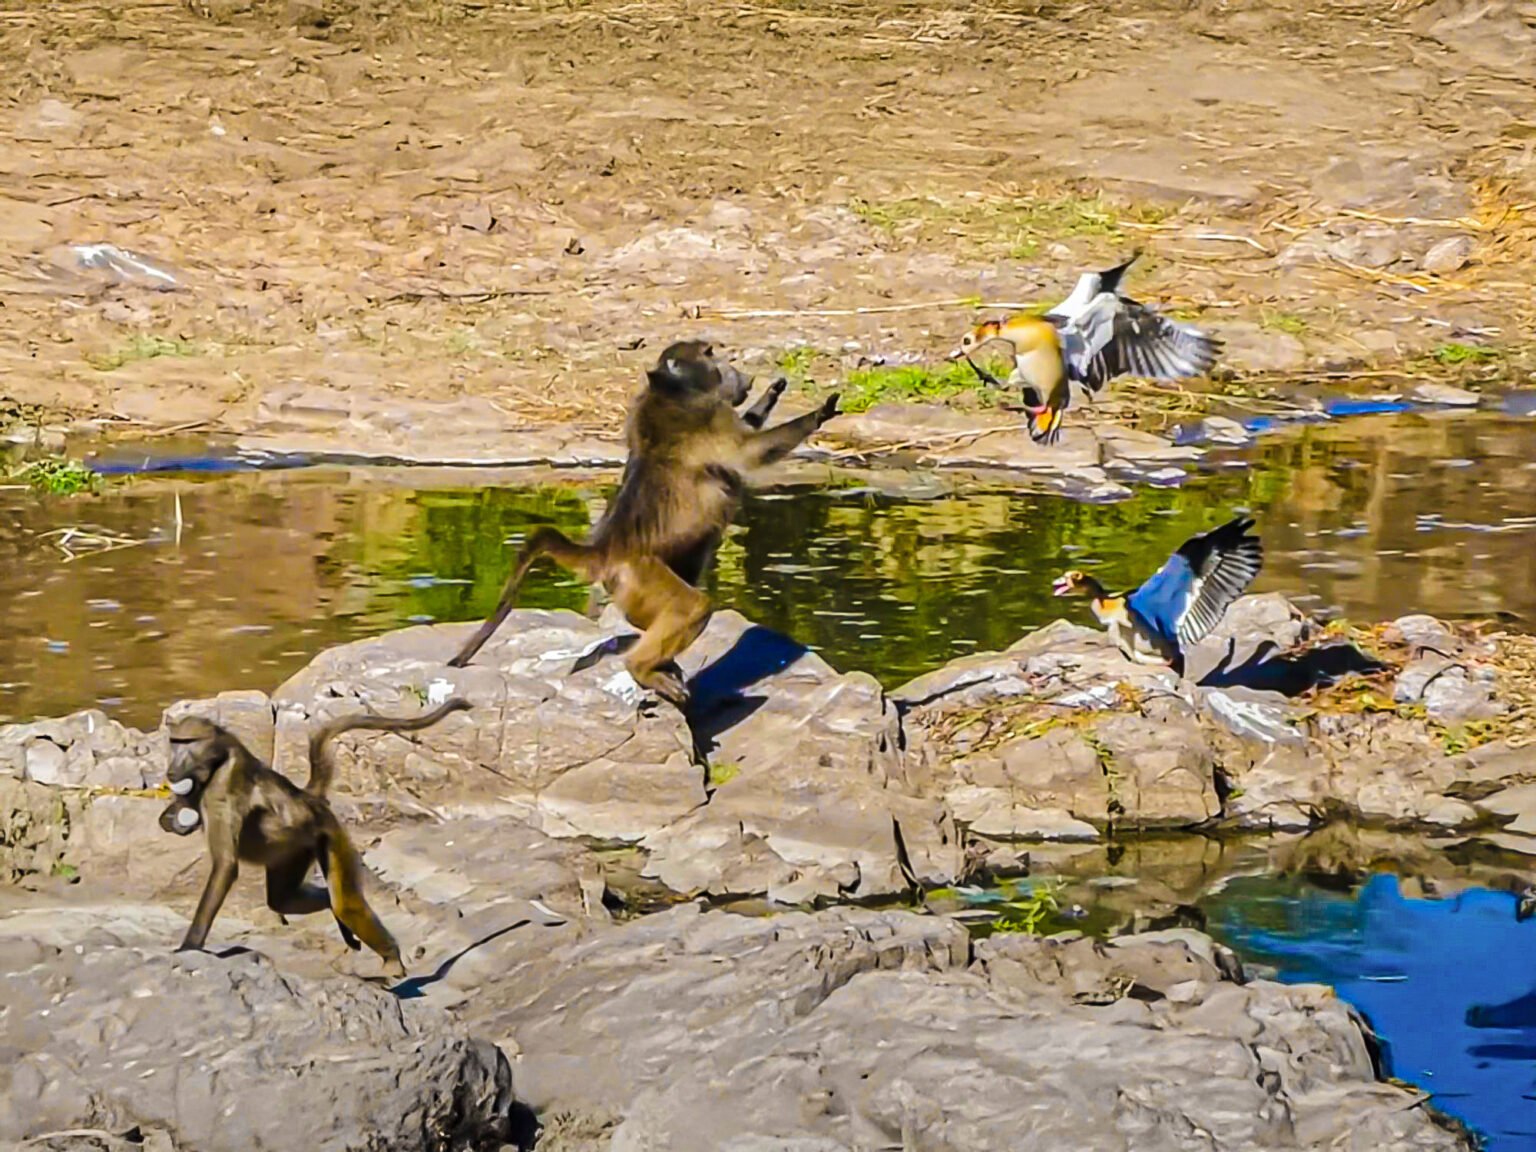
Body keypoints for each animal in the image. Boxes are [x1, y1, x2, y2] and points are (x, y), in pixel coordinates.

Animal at [159, 697, 471, 978]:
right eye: (175, 742)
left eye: (187, 743)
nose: (172, 769)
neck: (218, 759)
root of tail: (307, 798)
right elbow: (172, 818)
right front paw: (176, 819)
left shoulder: (222, 787)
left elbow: (225, 865)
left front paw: (189, 947)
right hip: (294, 849)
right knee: (286, 900)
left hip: (327, 834)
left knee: (343, 904)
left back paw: (391, 959)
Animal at [447, 340, 839, 708]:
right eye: (709, 353)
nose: (739, 373)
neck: (671, 390)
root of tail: (605, 549)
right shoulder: (709, 414)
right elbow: (749, 451)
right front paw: (820, 412)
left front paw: (770, 395)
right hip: (639, 575)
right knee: (693, 607)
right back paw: (641, 667)